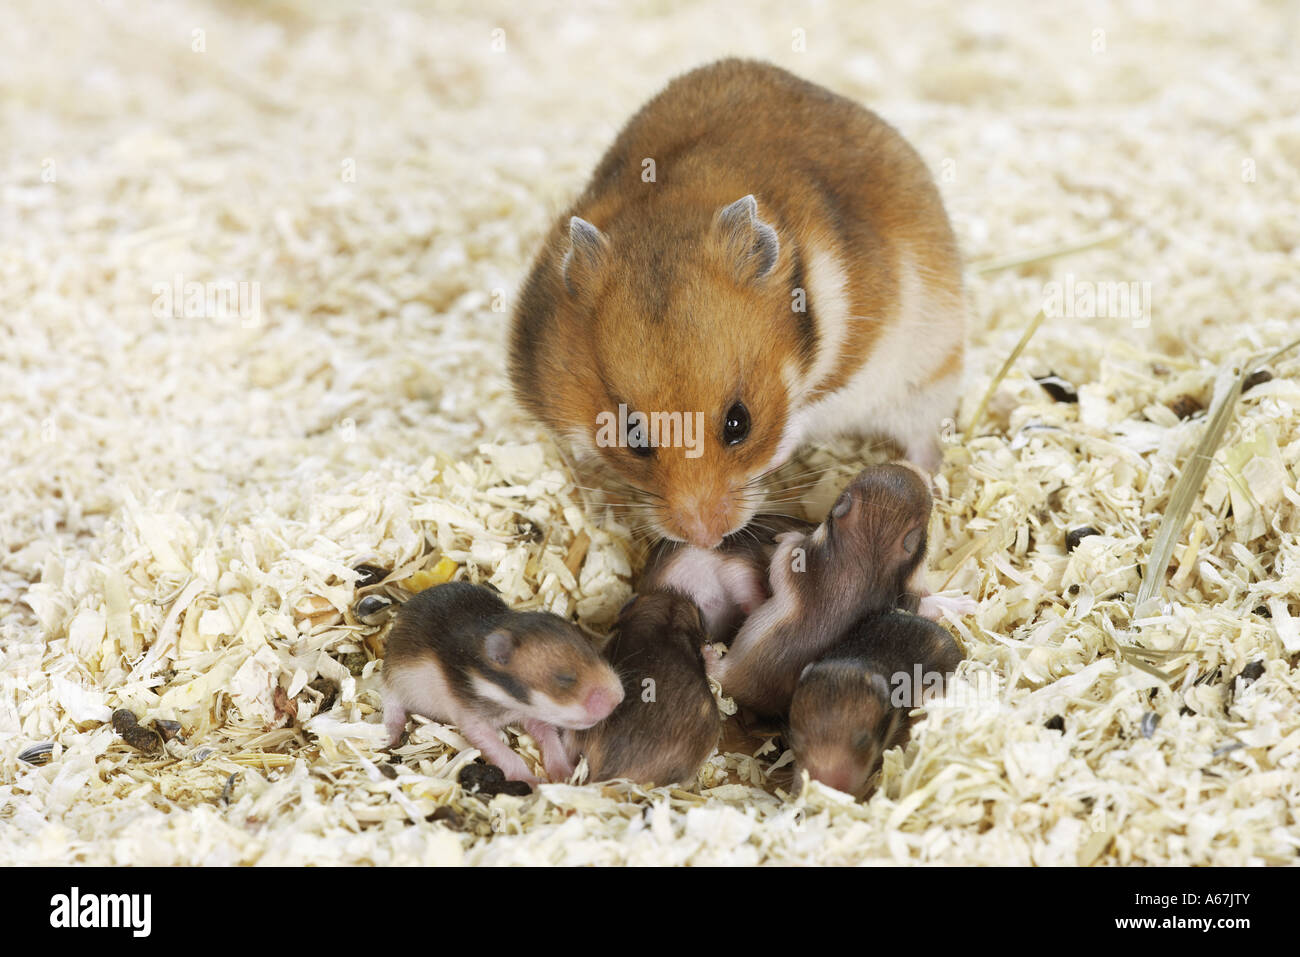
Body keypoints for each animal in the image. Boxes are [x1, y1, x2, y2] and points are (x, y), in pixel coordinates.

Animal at [381, 582, 624, 785]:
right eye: (565, 678)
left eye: (595, 653)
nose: (619, 698)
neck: (501, 694)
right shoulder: (471, 720)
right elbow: (501, 751)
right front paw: (534, 782)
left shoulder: (530, 713)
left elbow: (549, 737)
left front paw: (564, 774)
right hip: (395, 676)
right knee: (391, 701)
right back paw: (389, 737)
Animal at [509, 58, 965, 548]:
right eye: (632, 435)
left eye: (738, 423)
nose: (705, 537)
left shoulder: (855, 357)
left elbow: (804, 415)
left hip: (928, 377)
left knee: (922, 438)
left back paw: (929, 478)